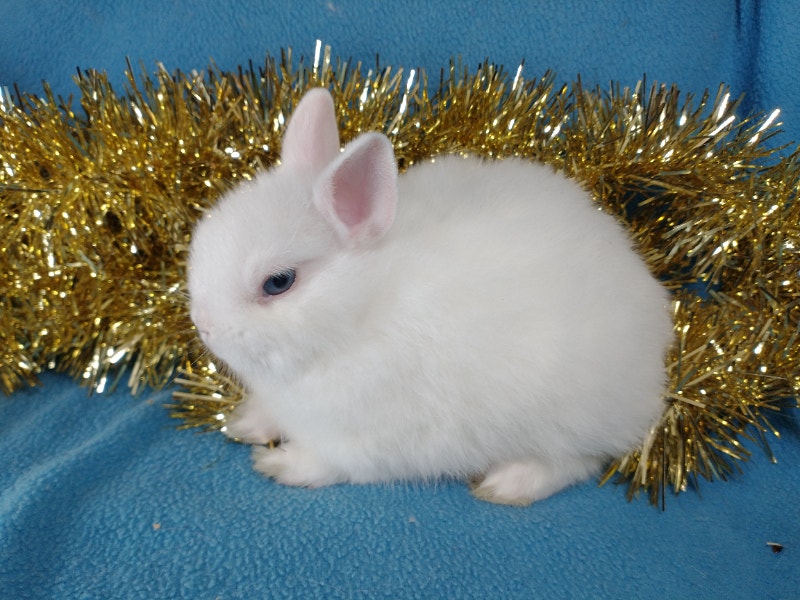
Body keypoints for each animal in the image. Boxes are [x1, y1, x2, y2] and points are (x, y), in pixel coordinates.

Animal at [187, 87, 674, 506]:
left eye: (278, 282)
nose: (204, 326)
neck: (361, 312)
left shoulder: (375, 437)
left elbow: (334, 462)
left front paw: (279, 463)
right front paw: (246, 422)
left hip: (566, 417)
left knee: (579, 461)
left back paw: (508, 484)